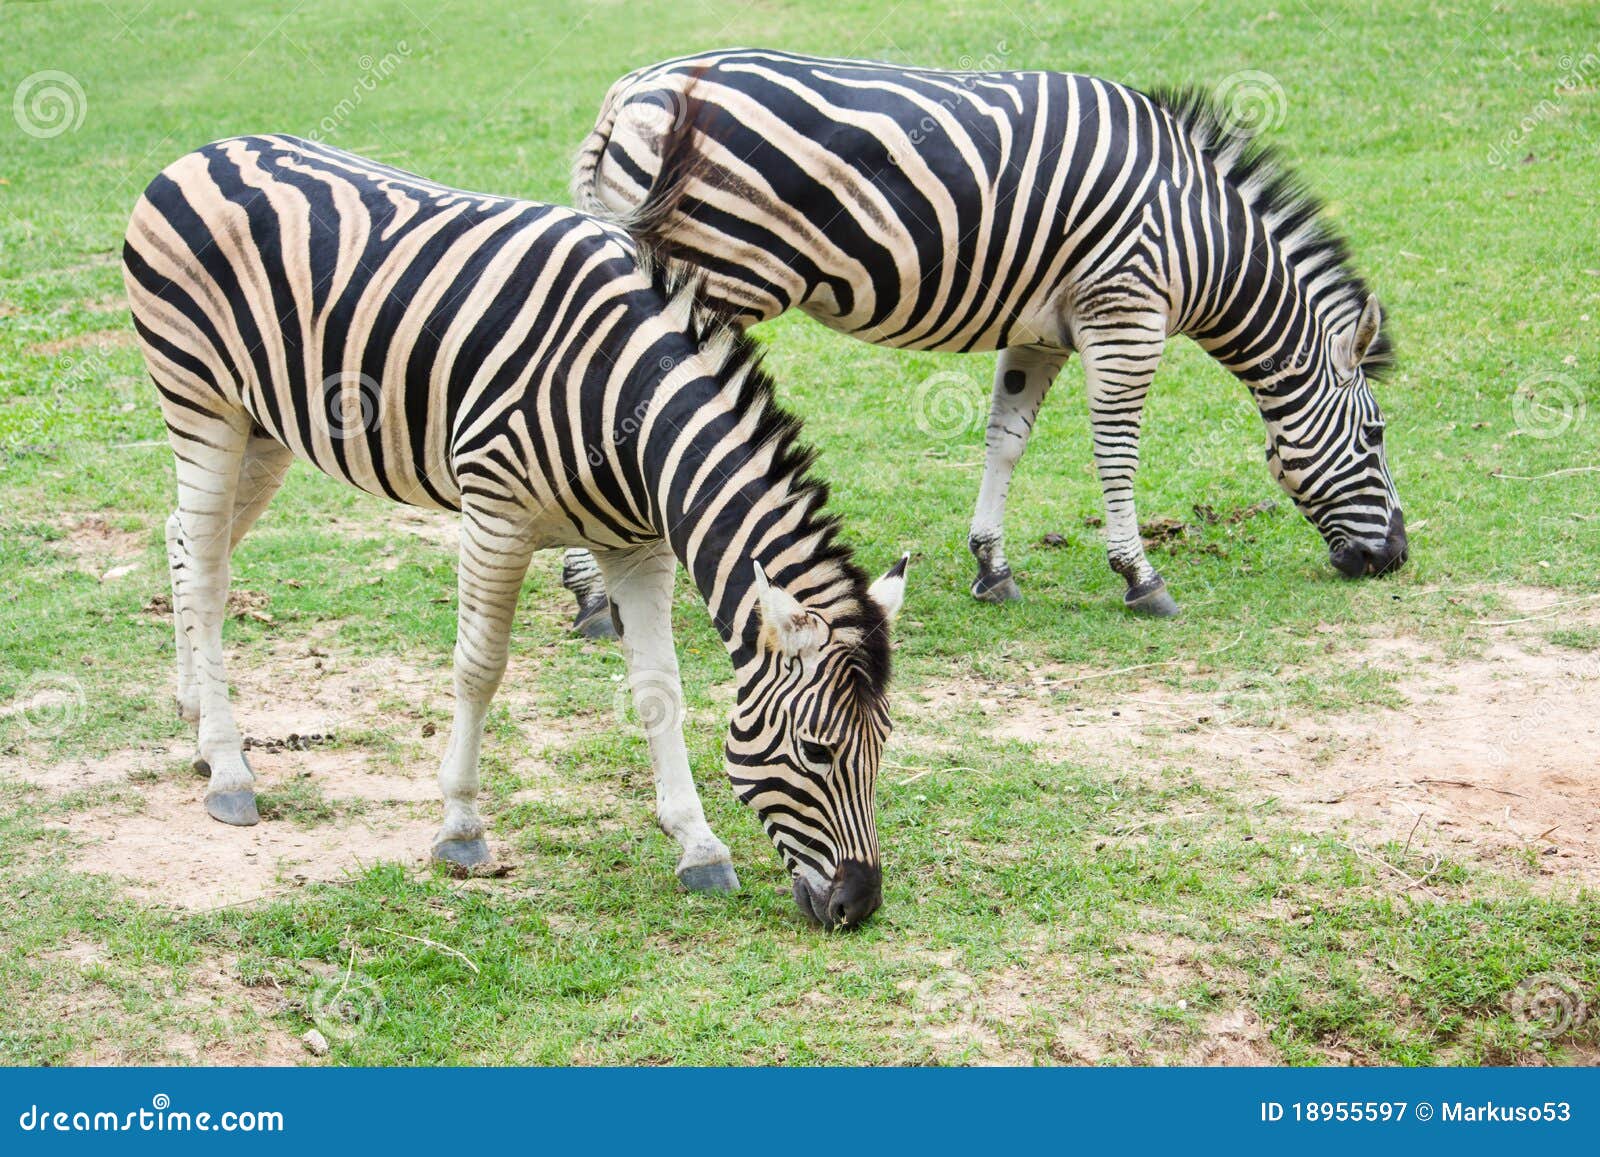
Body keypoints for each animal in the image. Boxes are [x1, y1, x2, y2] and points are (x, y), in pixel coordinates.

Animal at [121, 135, 910, 928]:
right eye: (815, 750)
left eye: (883, 742)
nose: (860, 903)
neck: (629, 409)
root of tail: (208, 149)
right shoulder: (494, 513)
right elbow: (480, 669)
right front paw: (461, 828)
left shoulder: (639, 545)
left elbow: (660, 686)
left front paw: (697, 843)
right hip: (202, 404)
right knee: (209, 575)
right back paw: (228, 769)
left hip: (265, 426)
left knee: (186, 542)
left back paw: (195, 716)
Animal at [557, 48, 1406, 630]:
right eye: (1375, 433)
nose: (1394, 559)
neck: (1198, 235)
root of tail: (629, 95)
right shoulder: (1125, 313)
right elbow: (1117, 451)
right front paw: (1142, 577)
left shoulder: (1043, 333)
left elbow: (1006, 440)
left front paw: (992, 566)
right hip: (711, 273)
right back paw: (603, 594)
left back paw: (595, 592)